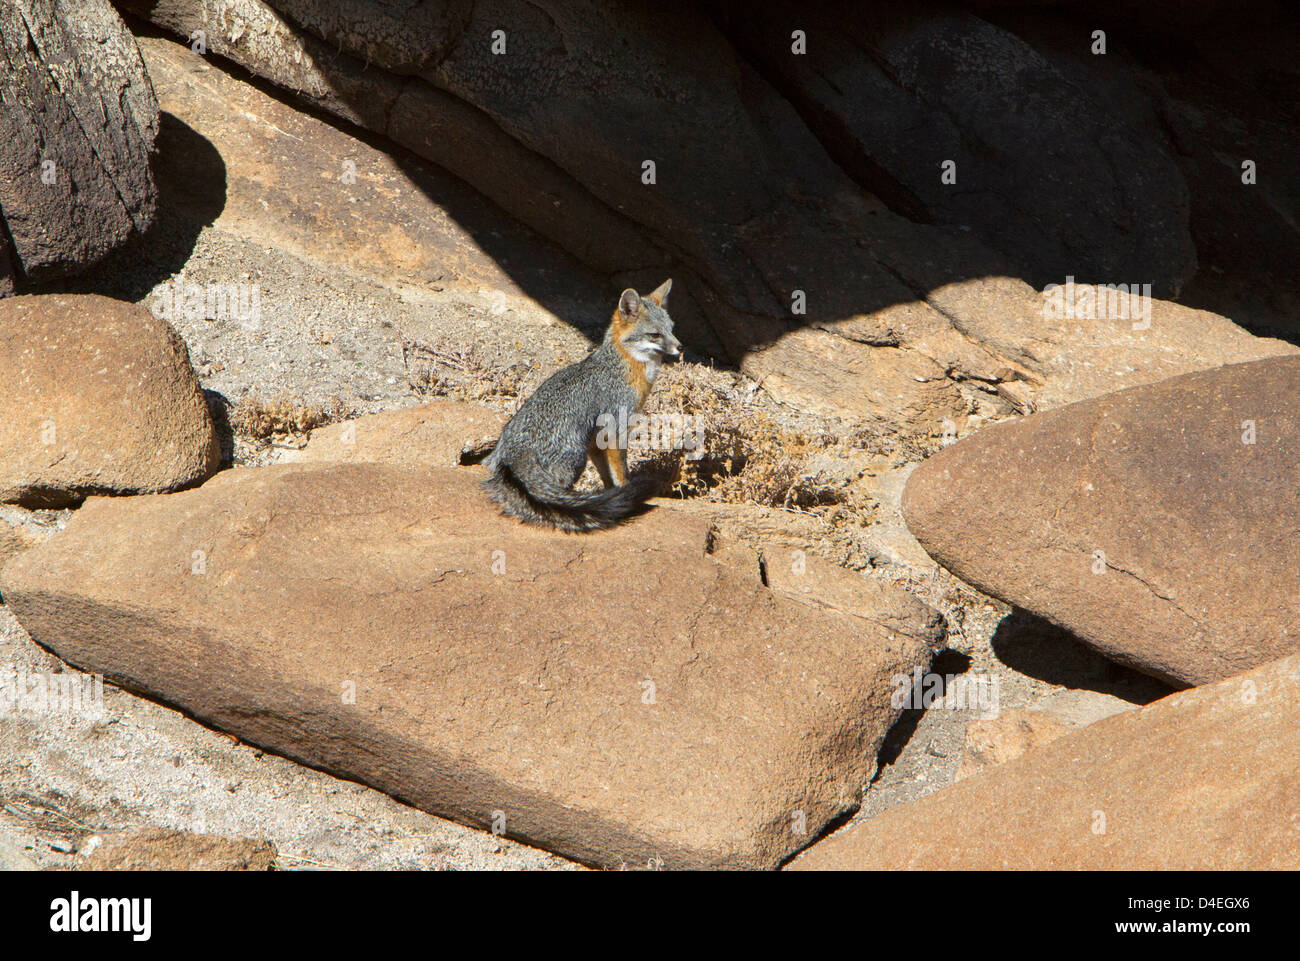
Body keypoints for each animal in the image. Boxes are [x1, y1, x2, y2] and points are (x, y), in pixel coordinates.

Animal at [482, 279, 682, 531]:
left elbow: (608, 479)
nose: (680, 347)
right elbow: (621, 476)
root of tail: (513, 455)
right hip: (576, 459)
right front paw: (625, 495)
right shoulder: (616, 431)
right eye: (655, 334)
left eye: (672, 329)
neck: (623, 366)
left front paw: (611, 498)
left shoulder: (597, 442)